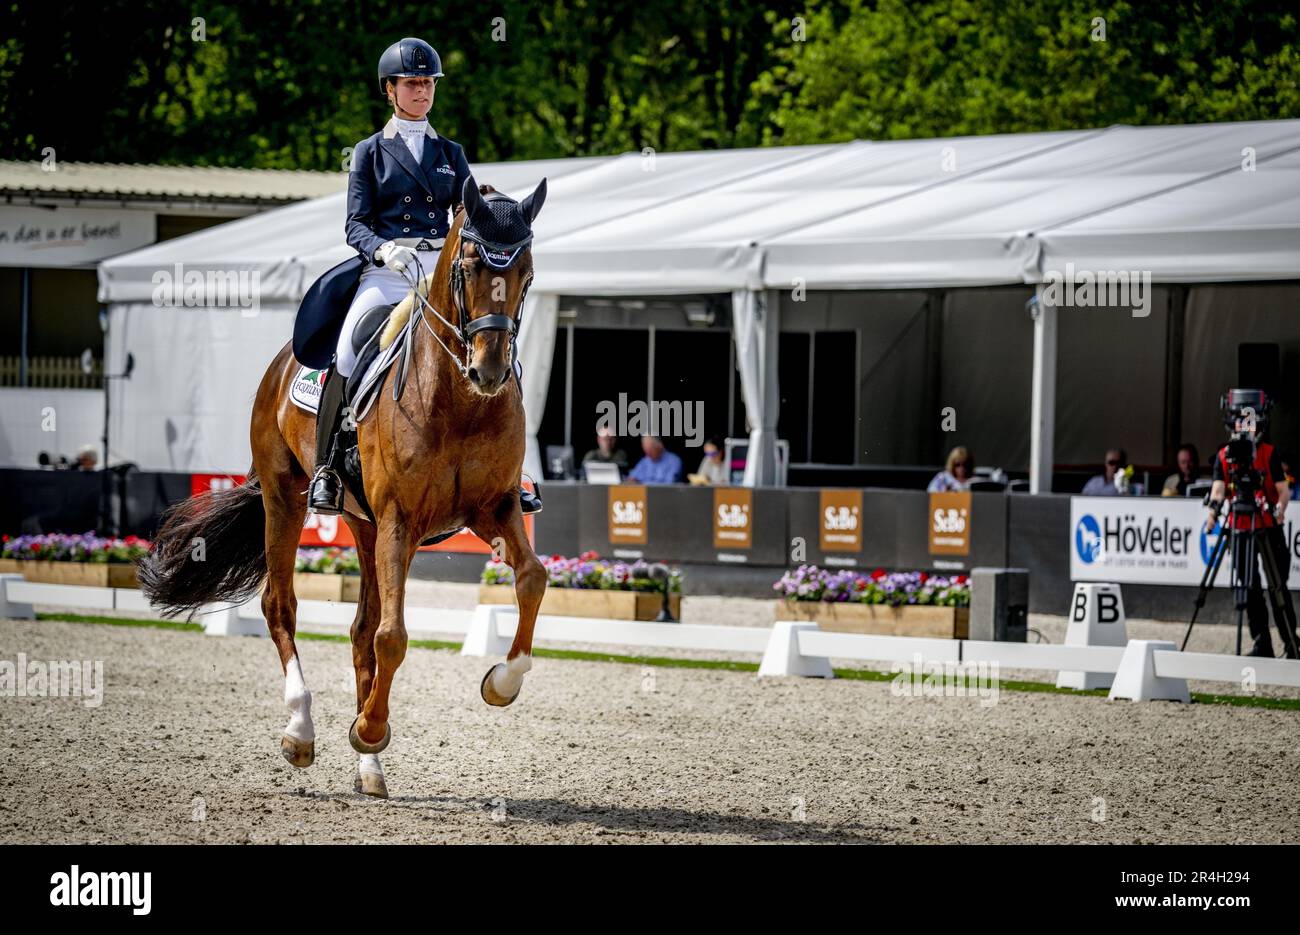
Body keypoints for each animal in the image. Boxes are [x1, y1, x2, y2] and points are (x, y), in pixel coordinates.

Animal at [137, 176, 548, 795]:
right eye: (470, 266)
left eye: (526, 271)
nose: (490, 370)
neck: (459, 400)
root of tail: (282, 363)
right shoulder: (401, 519)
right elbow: (394, 637)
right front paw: (370, 730)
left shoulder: (493, 510)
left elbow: (531, 580)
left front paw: (501, 682)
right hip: (285, 499)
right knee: (281, 606)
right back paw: (301, 733)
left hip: (364, 524)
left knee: (359, 629)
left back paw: (368, 772)